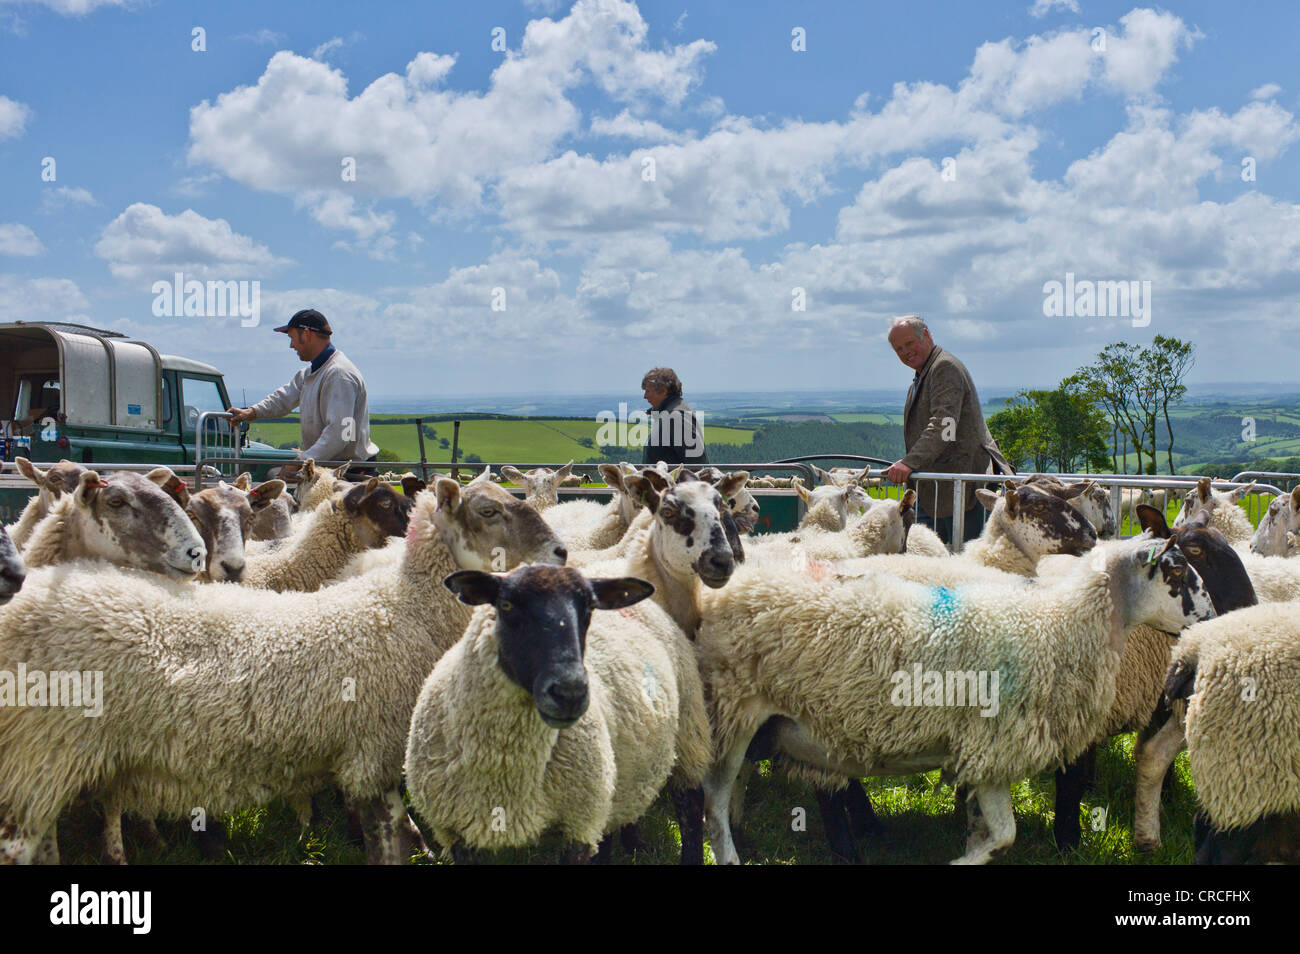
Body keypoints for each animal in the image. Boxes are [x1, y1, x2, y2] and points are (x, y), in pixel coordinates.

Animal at [404, 565, 712, 863]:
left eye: (589, 608)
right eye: (506, 604)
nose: (570, 692)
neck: (505, 772)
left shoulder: (579, 823)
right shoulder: (455, 833)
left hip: (688, 728)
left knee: (690, 804)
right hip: (623, 768)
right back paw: (634, 845)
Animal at [695, 533, 1216, 865]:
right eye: (1176, 572)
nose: (1212, 619)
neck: (1059, 625)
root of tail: (725, 590)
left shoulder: (982, 758)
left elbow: (988, 833)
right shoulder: (994, 748)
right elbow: (1005, 836)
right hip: (731, 713)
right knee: (713, 807)